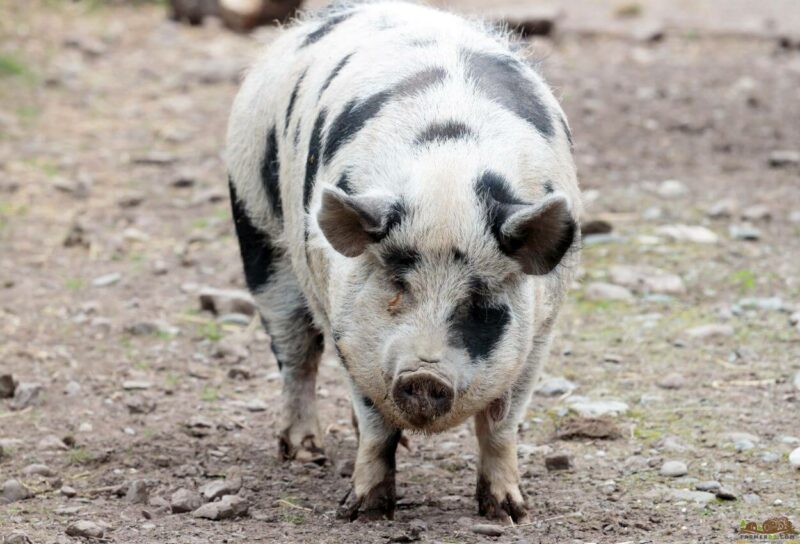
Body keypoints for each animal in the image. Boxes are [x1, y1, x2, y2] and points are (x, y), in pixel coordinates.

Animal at [226, 0, 582, 523]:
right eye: (397, 286)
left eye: (480, 302)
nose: (424, 376)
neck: (446, 181)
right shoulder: (349, 335)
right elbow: (375, 423)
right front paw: (364, 511)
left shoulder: (540, 331)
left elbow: (501, 426)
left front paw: (509, 512)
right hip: (256, 225)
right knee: (296, 352)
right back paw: (305, 453)